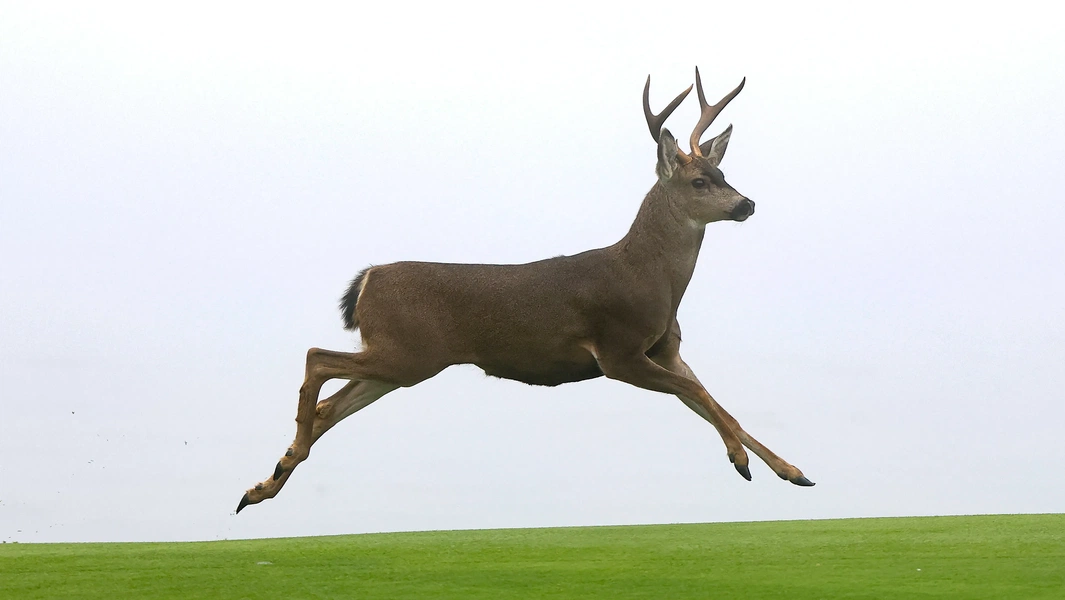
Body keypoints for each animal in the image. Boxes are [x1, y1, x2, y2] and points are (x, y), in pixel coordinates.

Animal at [236, 67, 814, 514]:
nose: (746, 204)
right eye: (698, 182)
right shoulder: (618, 352)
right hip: (407, 353)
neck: (648, 278)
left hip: (398, 363)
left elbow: (713, 400)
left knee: (328, 407)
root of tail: (368, 279)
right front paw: (741, 461)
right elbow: (705, 398)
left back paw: (265, 483)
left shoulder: (664, 350)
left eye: (724, 171)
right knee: (316, 358)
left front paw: (793, 471)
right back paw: (275, 470)